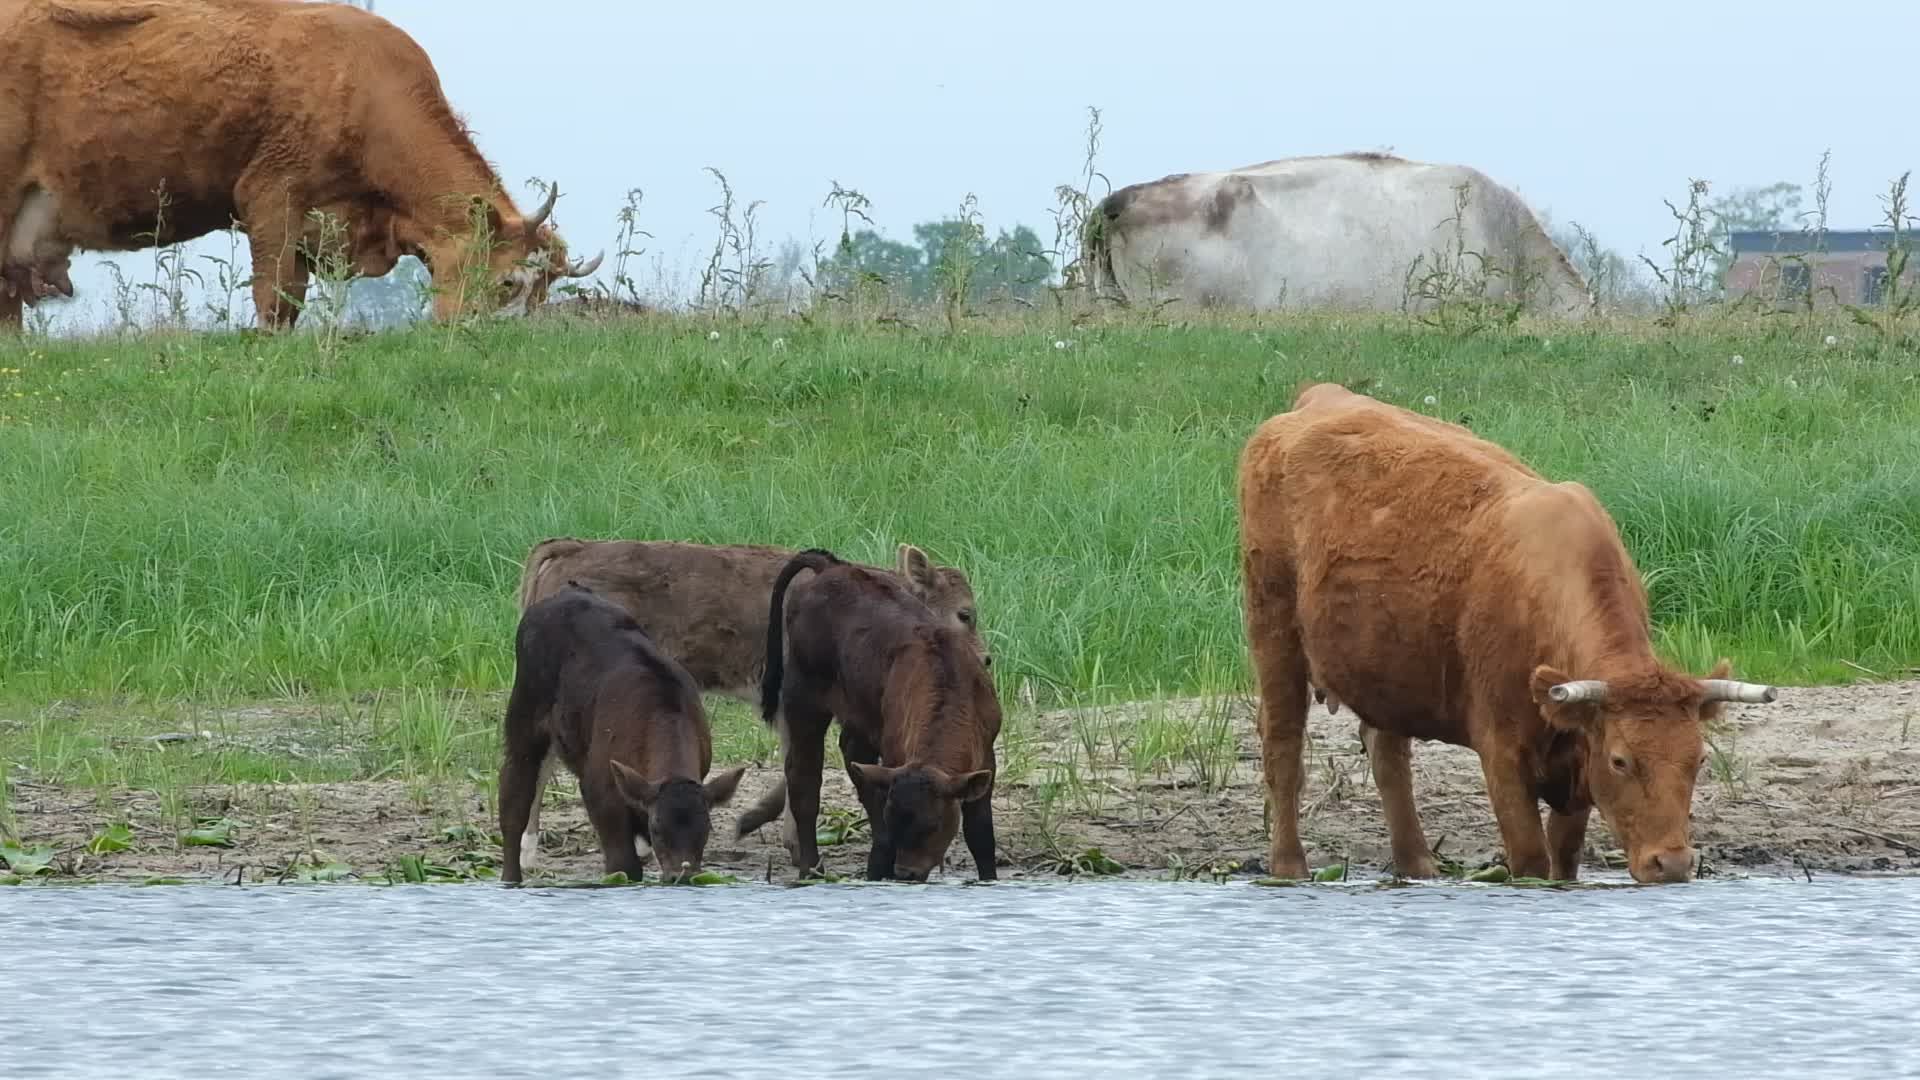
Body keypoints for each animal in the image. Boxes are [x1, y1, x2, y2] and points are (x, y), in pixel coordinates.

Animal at [497, 581, 746, 886]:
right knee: (514, 801)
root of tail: (566, 592)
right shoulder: (599, 789)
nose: (681, 875)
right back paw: (511, 879)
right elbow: (624, 866)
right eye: (657, 829)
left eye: (706, 829)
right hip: (524, 720)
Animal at [752, 549, 1002, 883]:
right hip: (802, 697)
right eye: (897, 821)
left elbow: (981, 835)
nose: (906, 873)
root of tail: (831, 568)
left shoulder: (986, 757)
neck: (947, 676)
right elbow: (881, 823)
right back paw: (812, 870)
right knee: (804, 781)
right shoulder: (894, 756)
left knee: (852, 755)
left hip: (858, 716)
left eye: (933, 825)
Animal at [1236, 382, 1779, 884]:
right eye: (1622, 761)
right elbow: (1531, 859)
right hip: (1274, 630)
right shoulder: (1501, 752)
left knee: (1389, 758)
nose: (1672, 863)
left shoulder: (1577, 762)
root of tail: (1319, 398)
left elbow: (1564, 858)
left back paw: (1418, 867)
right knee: (1283, 749)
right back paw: (1289, 865)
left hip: (1386, 669)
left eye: (1699, 759)